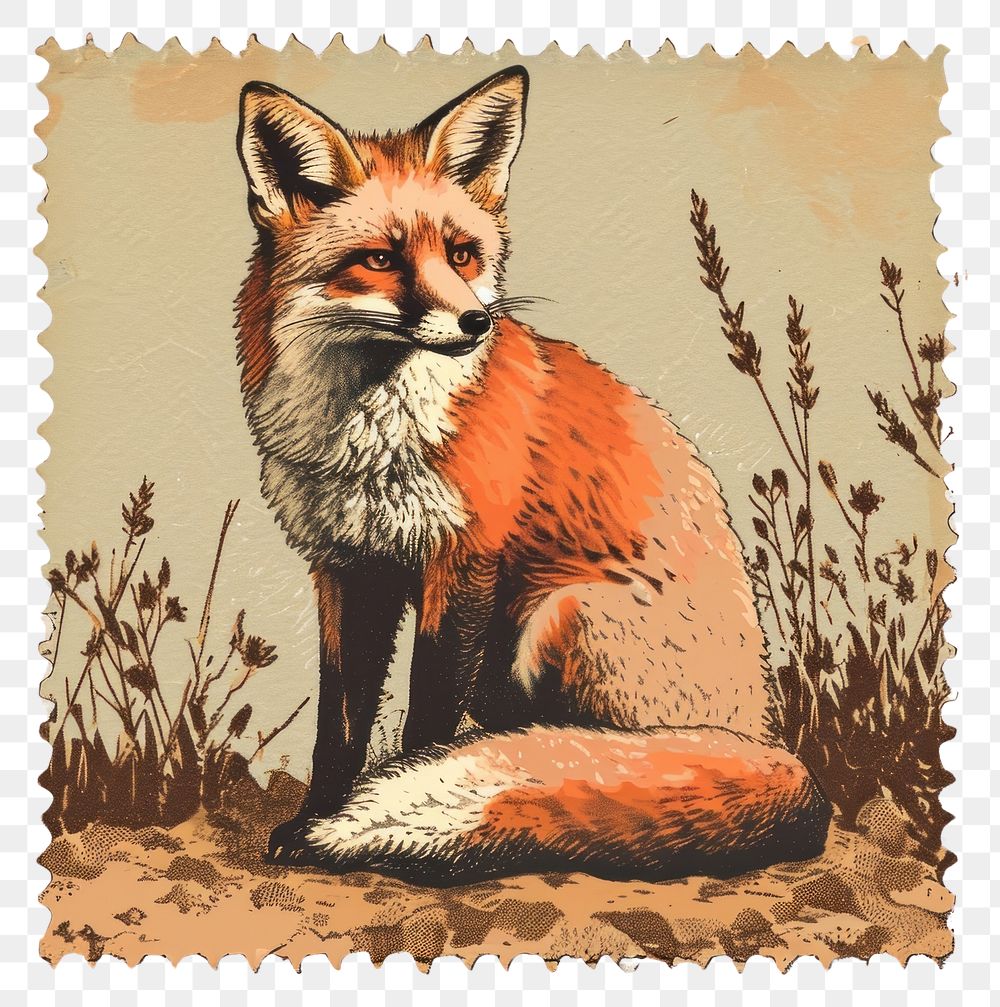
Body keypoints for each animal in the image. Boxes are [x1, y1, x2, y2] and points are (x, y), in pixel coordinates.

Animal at [234, 66, 831, 883]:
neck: (367, 439)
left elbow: (426, 715)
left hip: (558, 615)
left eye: (462, 254)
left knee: (584, 748)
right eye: (380, 260)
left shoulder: (464, 557)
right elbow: (341, 722)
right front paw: (313, 820)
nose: (474, 323)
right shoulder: (348, 565)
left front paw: (390, 805)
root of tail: (770, 741)